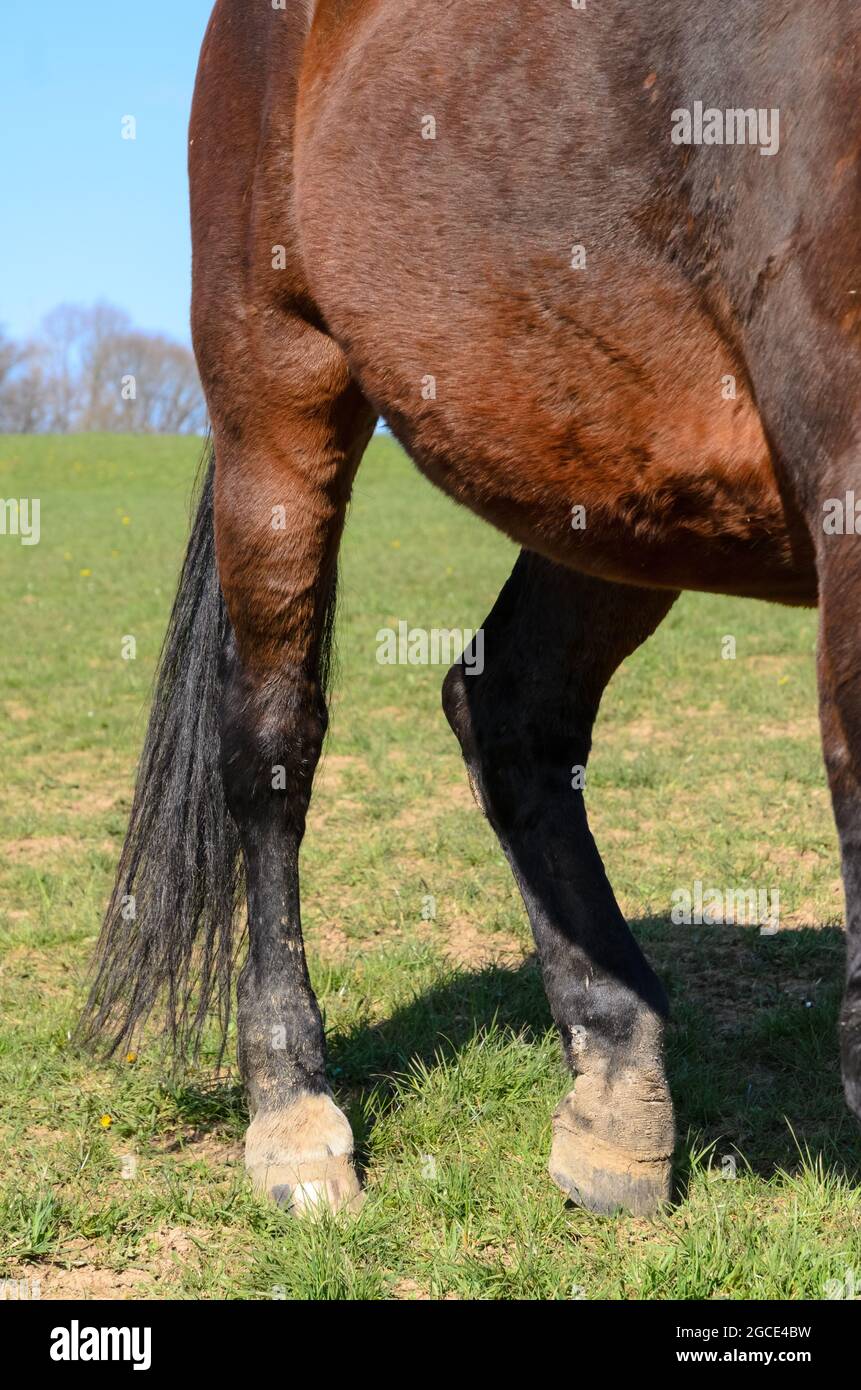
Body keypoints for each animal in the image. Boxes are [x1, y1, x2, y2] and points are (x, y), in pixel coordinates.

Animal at [81, 0, 861, 1218]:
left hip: (615, 470)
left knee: (509, 708)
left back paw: (614, 1088)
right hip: (275, 382)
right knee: (270, 742)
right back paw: (293, 1109)